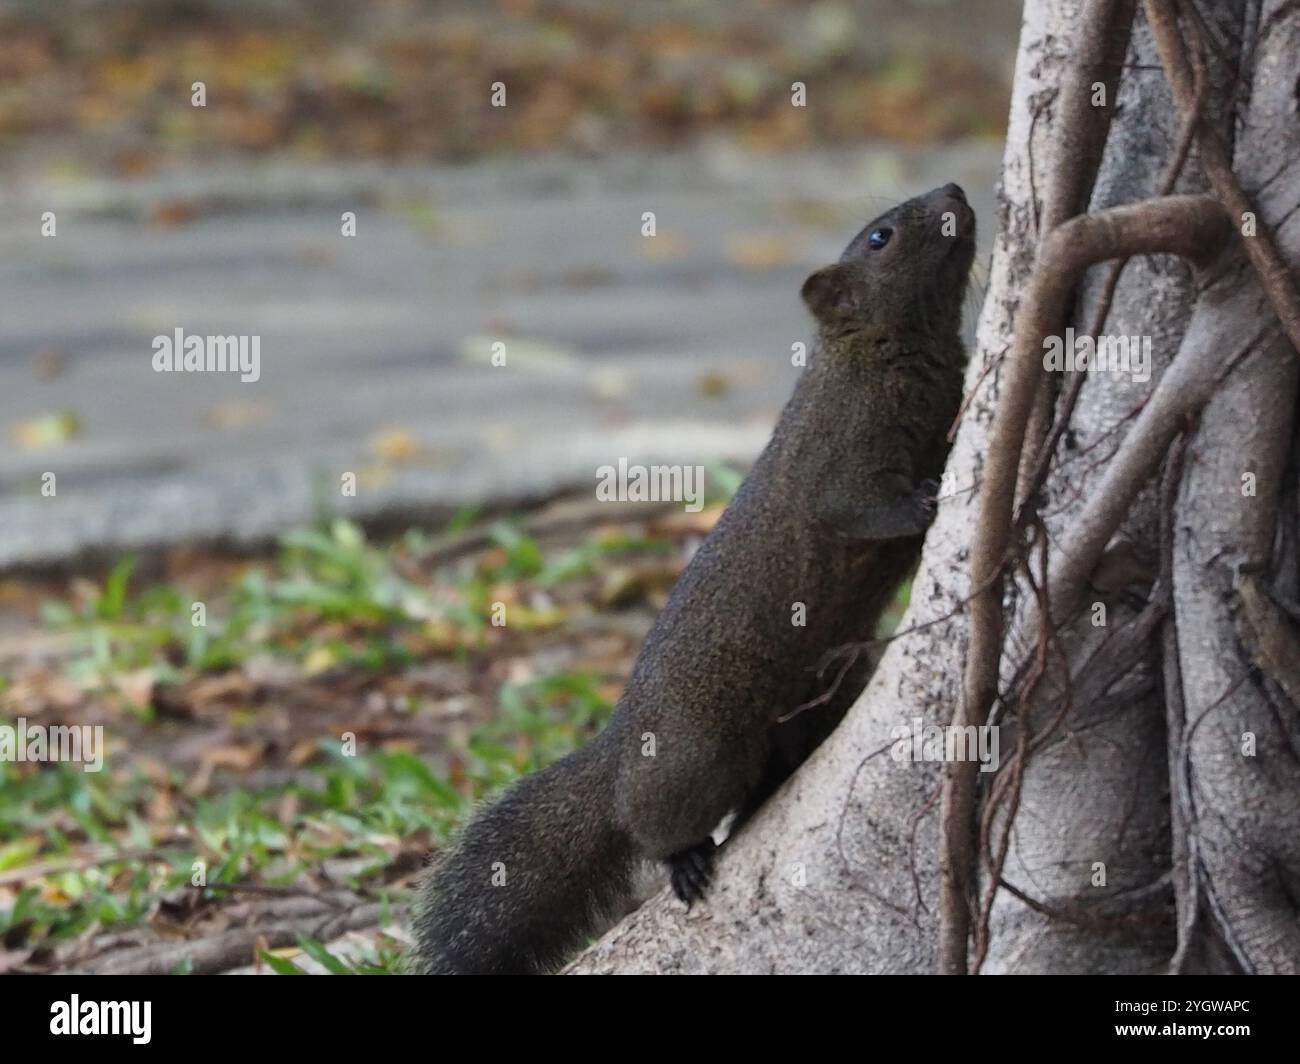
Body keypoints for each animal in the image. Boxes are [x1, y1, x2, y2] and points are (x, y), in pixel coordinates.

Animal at [412, 183, 976, 974]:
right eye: (880, 237)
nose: (954, 190)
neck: (885, 353)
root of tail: (618, 755)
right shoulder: (841, 465)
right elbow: (867, 508)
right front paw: (929, 503)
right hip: (697, 758)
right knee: (649, 824)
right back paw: (682, 860)